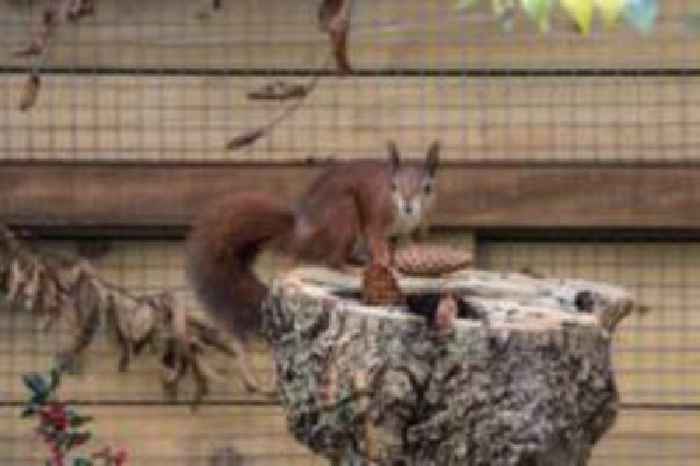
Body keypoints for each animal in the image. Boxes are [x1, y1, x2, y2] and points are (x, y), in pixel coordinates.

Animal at [185, 140, 441, 343]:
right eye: (393, 186)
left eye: (427, 188)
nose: (407, 205)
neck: (403, 216)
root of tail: (303, 236)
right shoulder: (377, 221)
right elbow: (378, 245)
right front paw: (387, 266)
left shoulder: (401, 234)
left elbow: (399, 248)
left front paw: (399, 266)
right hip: (343, 214)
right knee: (332, 259)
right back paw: (352, 268)